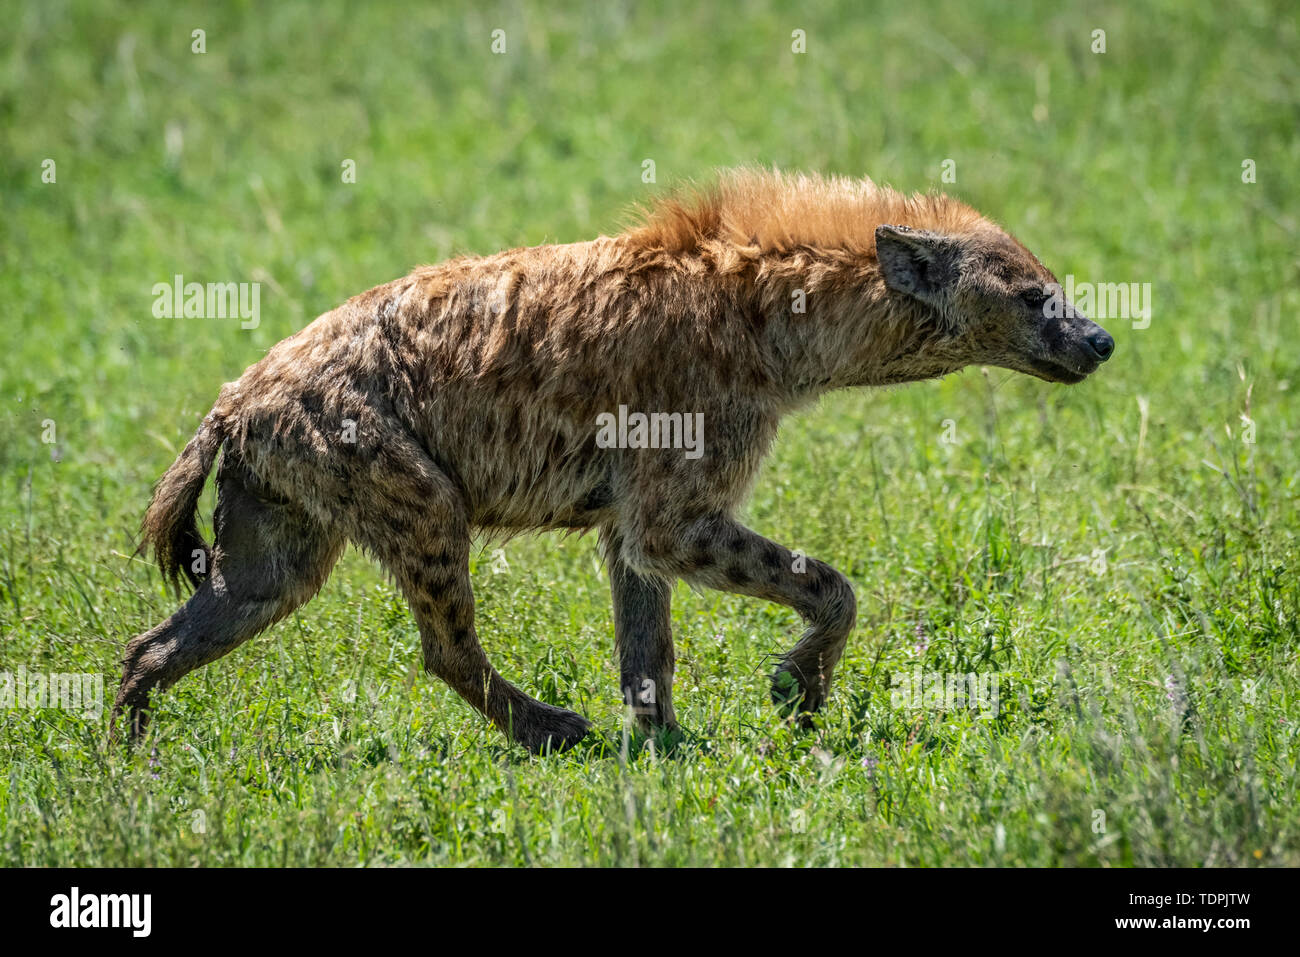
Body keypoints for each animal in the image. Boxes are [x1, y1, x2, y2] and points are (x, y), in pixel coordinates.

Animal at [113, 169, 1114, 753]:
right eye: (1034, 295)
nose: (1102, 339)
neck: (775, 328)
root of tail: (233, 397)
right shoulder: (677, 500)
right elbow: (829, 583)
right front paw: (797, 691)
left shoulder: (634, 516)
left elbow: (647, 637)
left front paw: (668, 744)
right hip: (398, 477)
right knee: (443, 638)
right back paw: (553, 729)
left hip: (279, 518)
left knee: (201, 615)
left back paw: (129, 746)